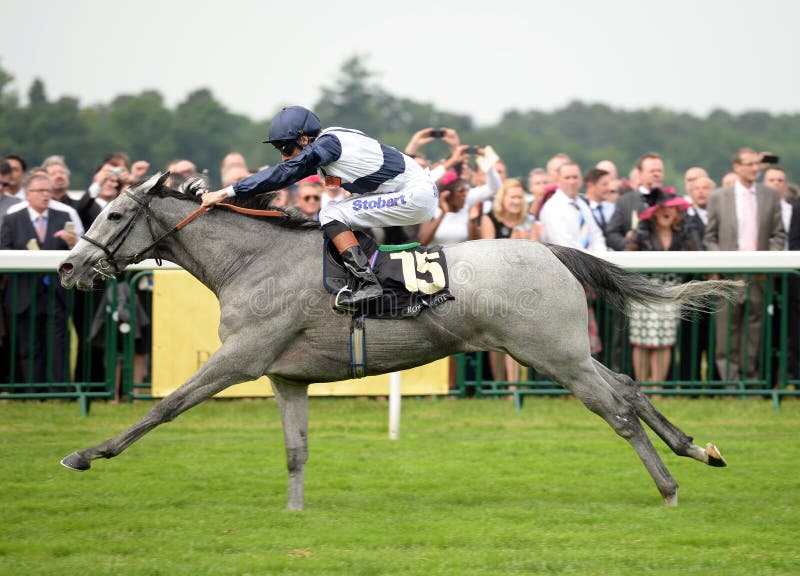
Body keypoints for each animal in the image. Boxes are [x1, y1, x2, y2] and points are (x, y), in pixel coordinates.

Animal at [58, 172, 736, 509]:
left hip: (553, 353)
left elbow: (166, 406)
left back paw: (669, 486)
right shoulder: (287, 376)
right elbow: (296, 451)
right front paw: (295, 514)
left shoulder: (240, 358)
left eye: (113, 216)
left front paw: (86, 454)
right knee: (628, 384)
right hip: (566, 352)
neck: (253, 260)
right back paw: (697, 450)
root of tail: (549, 248)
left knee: (617, 407)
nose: (68, 267)